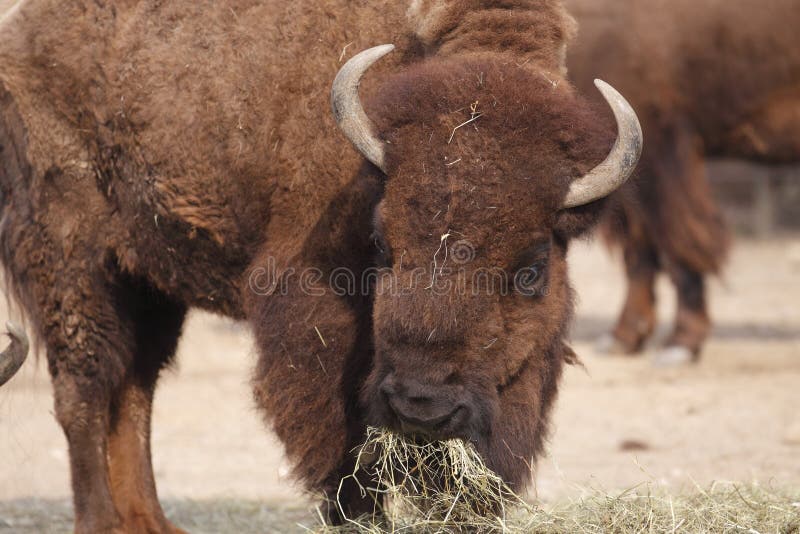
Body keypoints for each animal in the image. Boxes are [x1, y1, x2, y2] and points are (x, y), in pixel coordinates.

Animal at [0, 0, 641, 531]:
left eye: (532, 268)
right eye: (382, 244)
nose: (421, 406)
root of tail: (20, 35)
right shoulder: (313, 317)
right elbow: (341, 446)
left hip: (148, 282)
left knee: (135, 387)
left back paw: (152, 523)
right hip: (73, 265)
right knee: (84, 391)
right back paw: (99, 522)